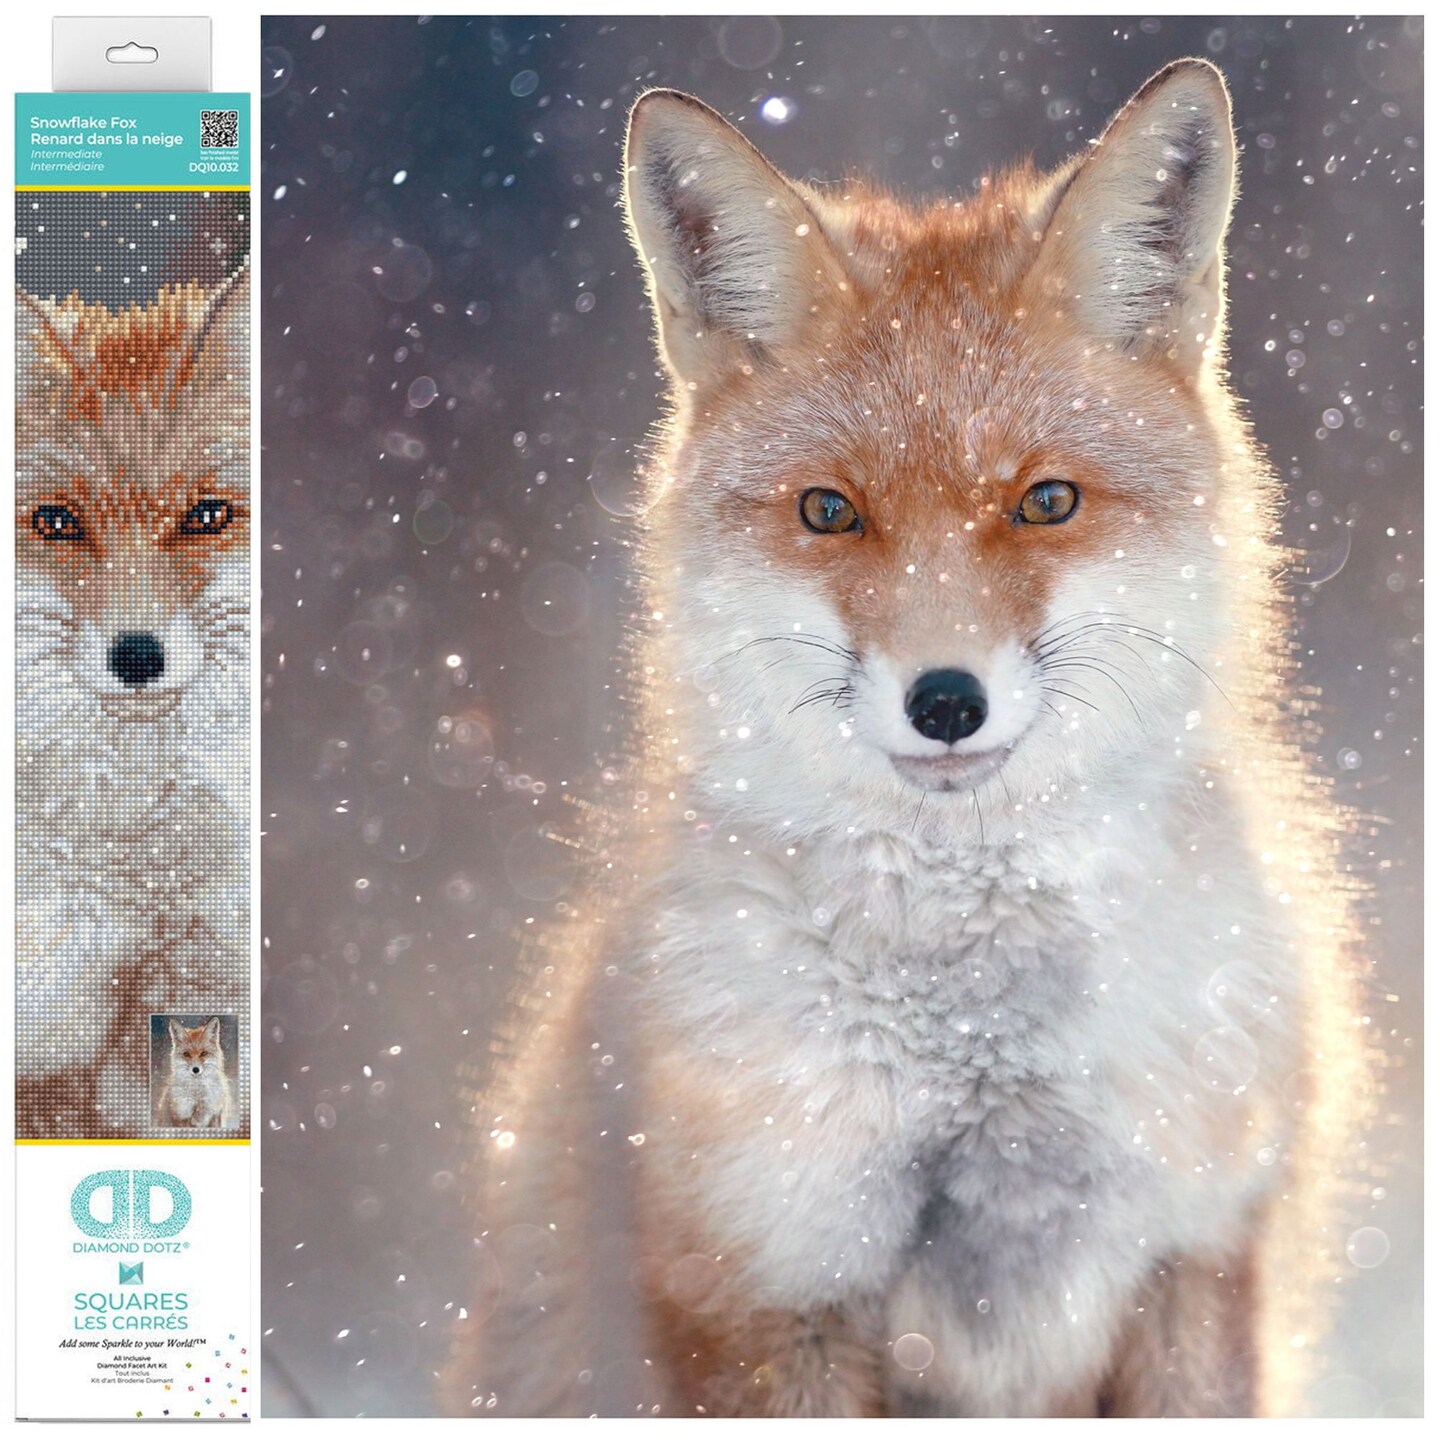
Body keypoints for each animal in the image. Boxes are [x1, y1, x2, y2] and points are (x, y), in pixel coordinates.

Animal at [443, 61, 1370, 1417]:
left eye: (1047, 501)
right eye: (831, 512)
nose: (946, 702)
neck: (979, 1046)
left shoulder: (1196, 1253)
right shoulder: (766, 1277)